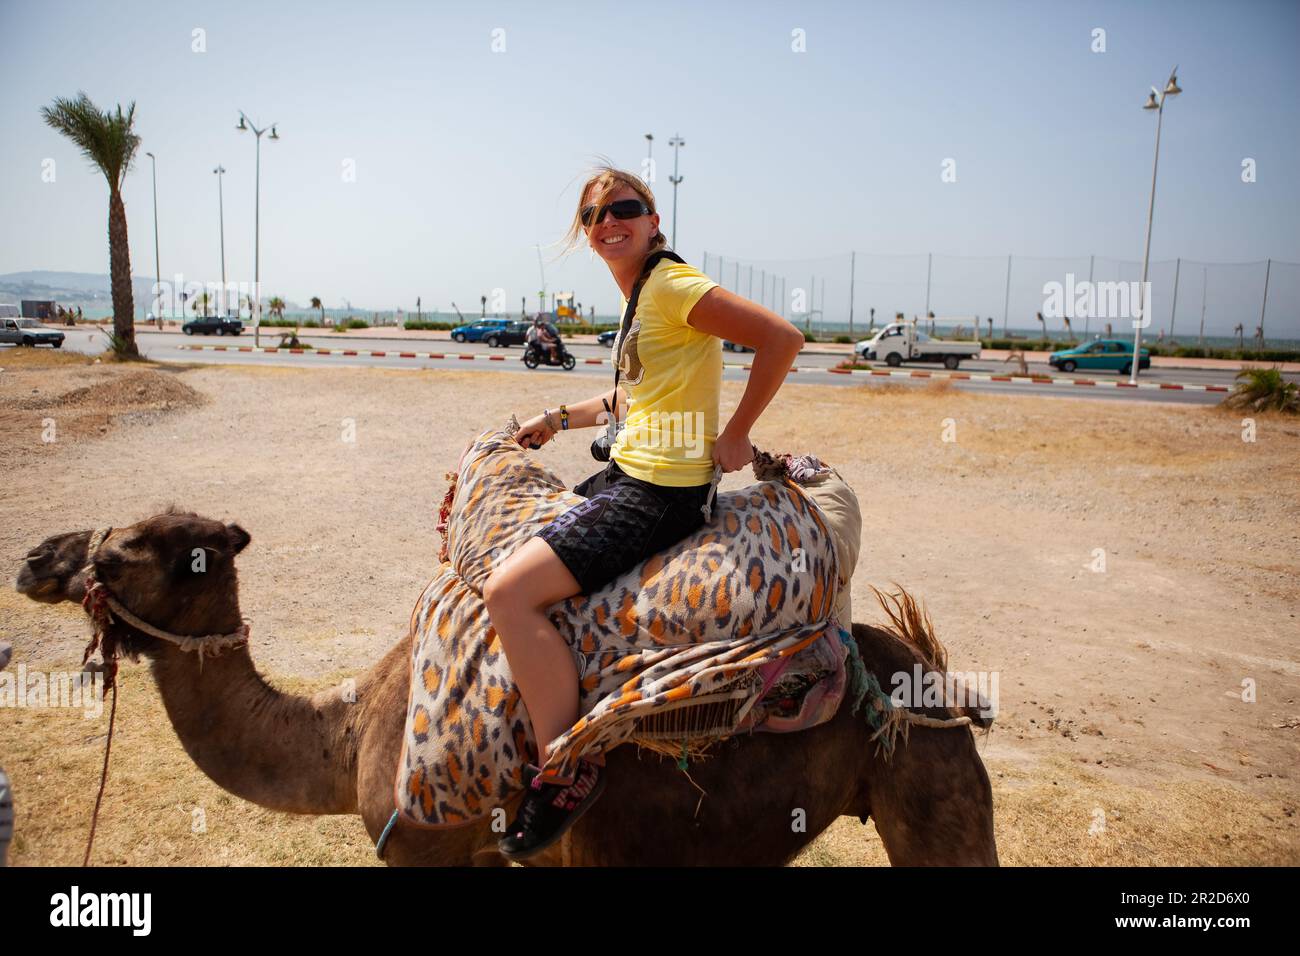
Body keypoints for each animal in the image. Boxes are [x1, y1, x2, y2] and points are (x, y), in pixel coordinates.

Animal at [15, 511, 998, 866]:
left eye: (122, 552)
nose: (34, 558)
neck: (350, 732)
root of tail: (937, 674)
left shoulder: (426, 856)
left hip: (935, 791)